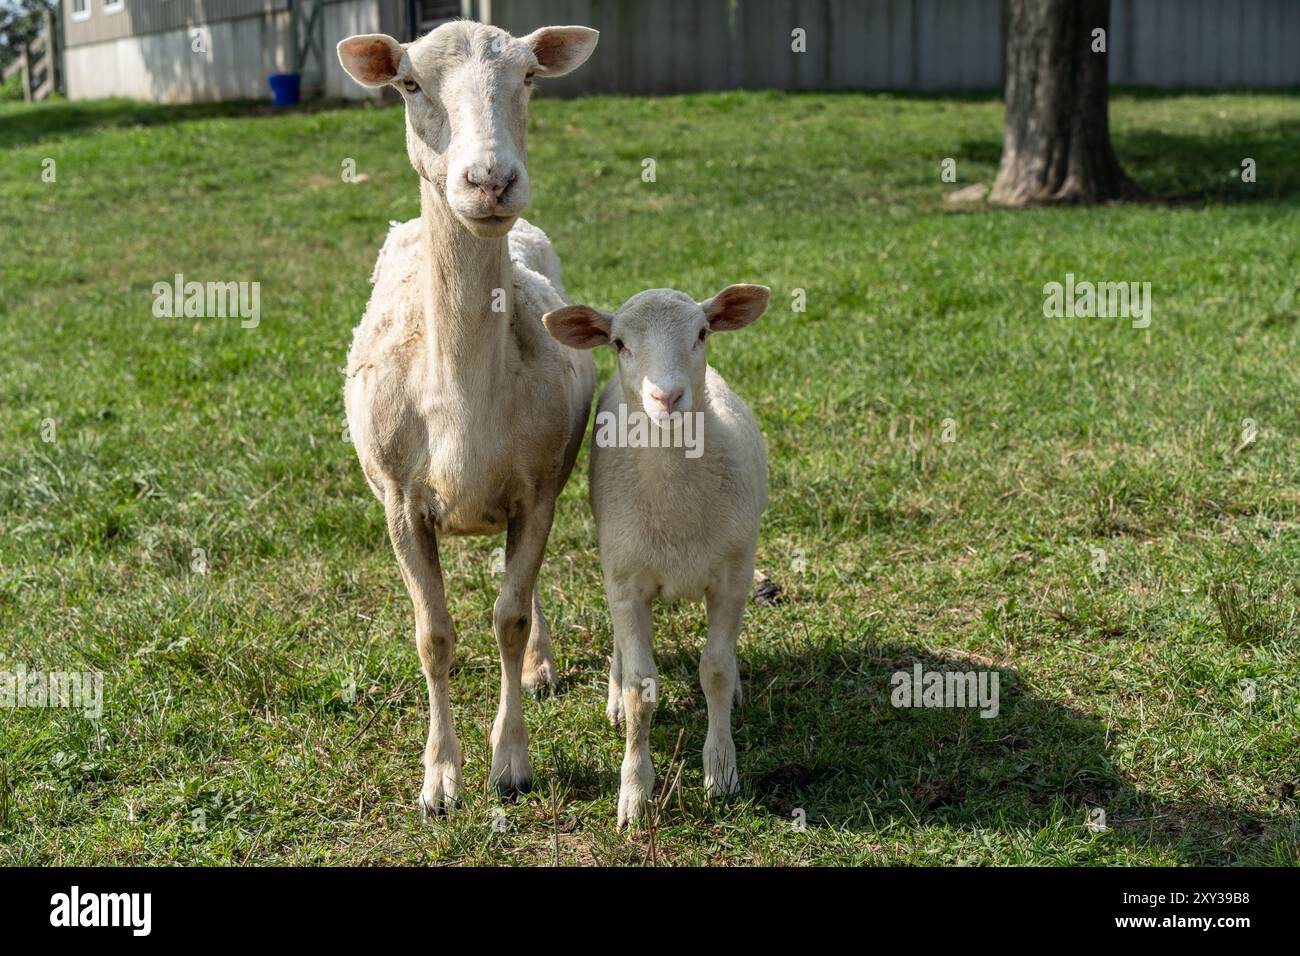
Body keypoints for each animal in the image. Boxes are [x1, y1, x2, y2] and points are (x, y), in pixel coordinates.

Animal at [335, 20, 599, 814]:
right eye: (409, 83)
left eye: (530, 77)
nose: (490, 181)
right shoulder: (399, 500)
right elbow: (435, 637)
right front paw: (439, 779)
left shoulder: (537, 492)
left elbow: (508, 616)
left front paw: (509, 763)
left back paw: (541, 669)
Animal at [543, 284, 771, 825]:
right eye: (619, 343)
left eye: (703, 333)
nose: (665, 398)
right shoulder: (625, 581)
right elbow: (640, 687)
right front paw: (633, 792)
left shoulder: (733, 577)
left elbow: (715, 670)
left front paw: (721, 772)